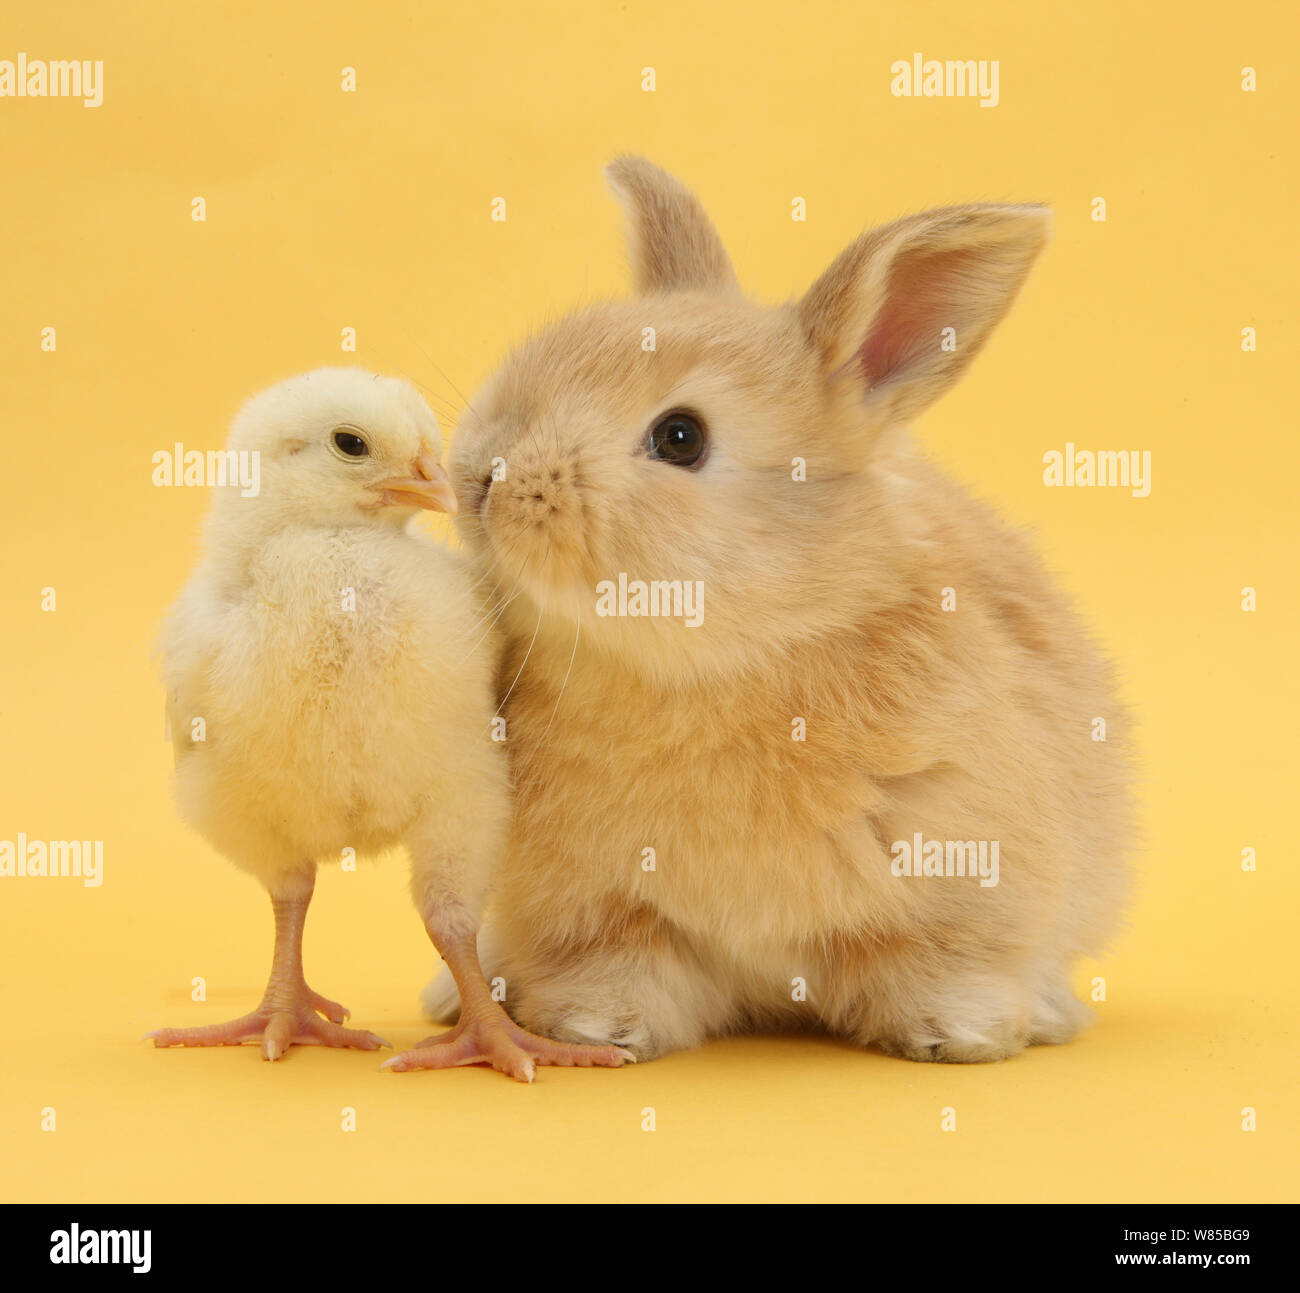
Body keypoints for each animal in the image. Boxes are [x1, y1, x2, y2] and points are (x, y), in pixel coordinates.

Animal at [424, 156, 1134, 1063]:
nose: (484, 473)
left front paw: (958, 1033)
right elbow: (616, 957)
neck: (722, 659)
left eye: (681, 437)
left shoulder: (964, 875)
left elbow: (937, 958)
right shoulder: (591, 901)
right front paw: (600, 1026)